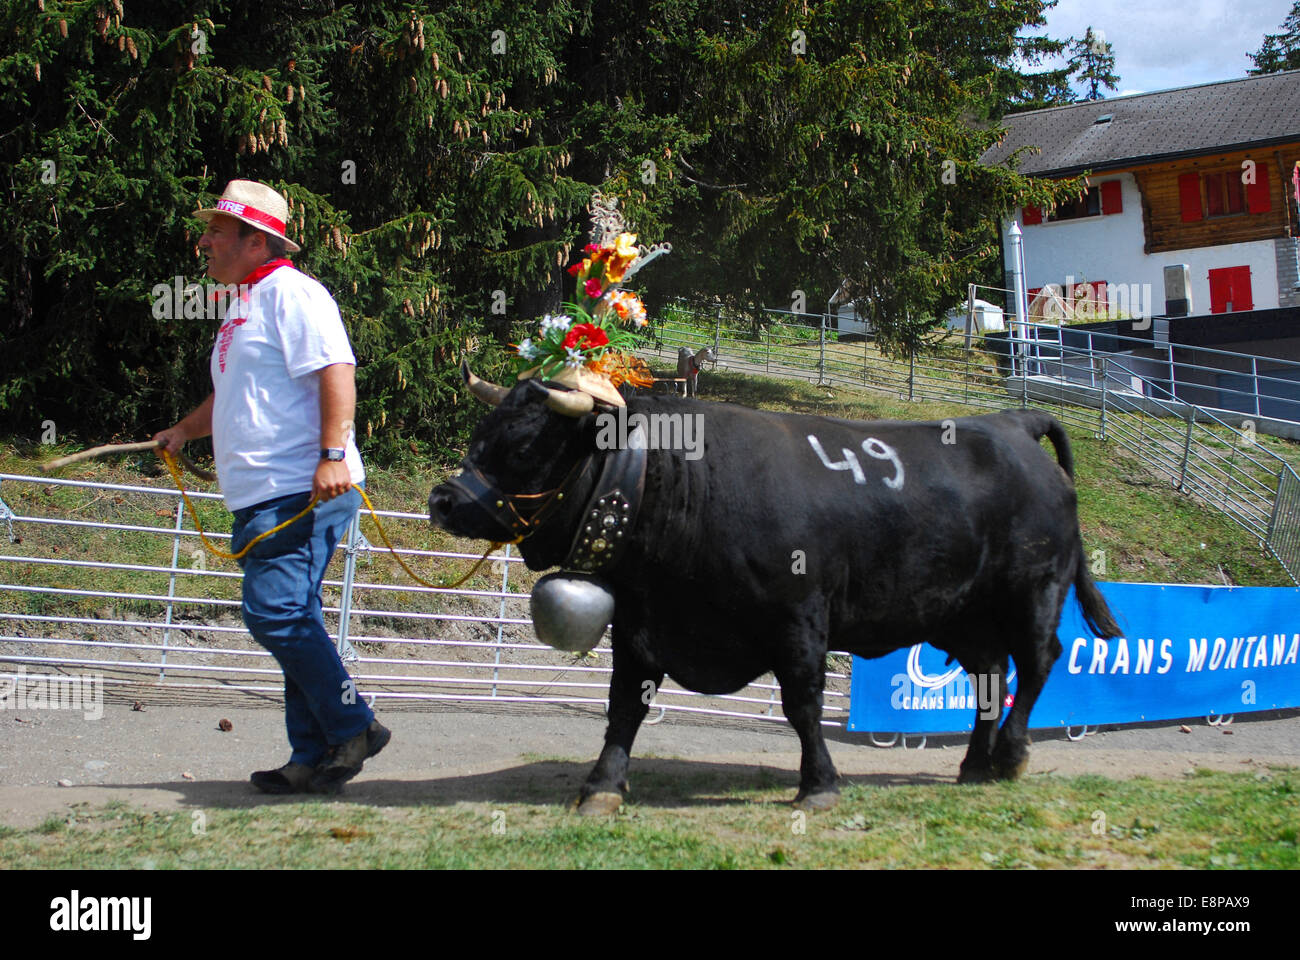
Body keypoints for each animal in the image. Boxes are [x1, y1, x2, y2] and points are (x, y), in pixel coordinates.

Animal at [429, 366, 1121, 814]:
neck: (680, 480)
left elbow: (802, 706)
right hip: (960, 614)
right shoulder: (641, 623)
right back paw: (974, 765)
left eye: (523, 444)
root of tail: (1012, 423)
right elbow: (626, 703)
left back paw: (1010, 755)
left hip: (1034, 592)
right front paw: (602, 784)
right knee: (989, 673)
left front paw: (820, 785)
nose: (442, 500)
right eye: (481, 432)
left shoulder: (800, 619)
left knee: (1037, 661)